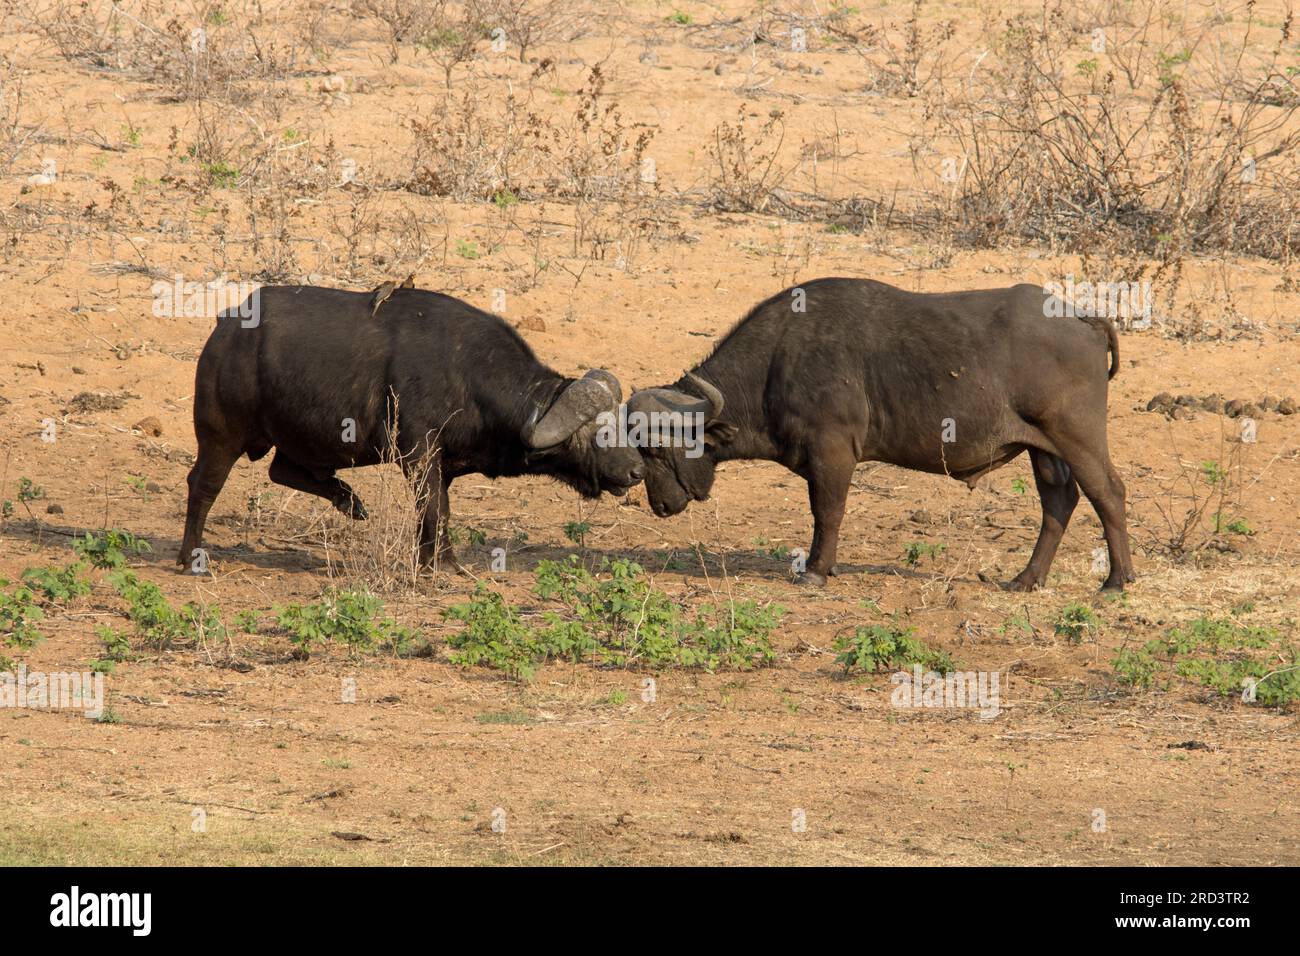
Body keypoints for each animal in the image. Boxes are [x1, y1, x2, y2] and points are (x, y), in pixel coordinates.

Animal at [178, 284, 643, 570]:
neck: (469, 375)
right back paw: (190, 557)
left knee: (284, 470)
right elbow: (435, 509)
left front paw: (439, 561)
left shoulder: (442, 466)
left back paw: (349, 501)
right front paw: (440, 567)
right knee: (204, 486)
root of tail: (226, 326)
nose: (637, 470)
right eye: (599, 433)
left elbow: (437, 511)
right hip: (220, 436)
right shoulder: (417, 453)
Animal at [627, 278, 1134, 590]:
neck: (777, 360)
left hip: (1077, 437)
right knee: (1059, 501)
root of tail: (1082, 319)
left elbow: (827, 513)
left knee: (1108, 493)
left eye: (657, 449)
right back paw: (1026, 579)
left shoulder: (832, 453)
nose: (659, 505)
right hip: (1043, 449)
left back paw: (1116, 580)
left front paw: (816, 571)